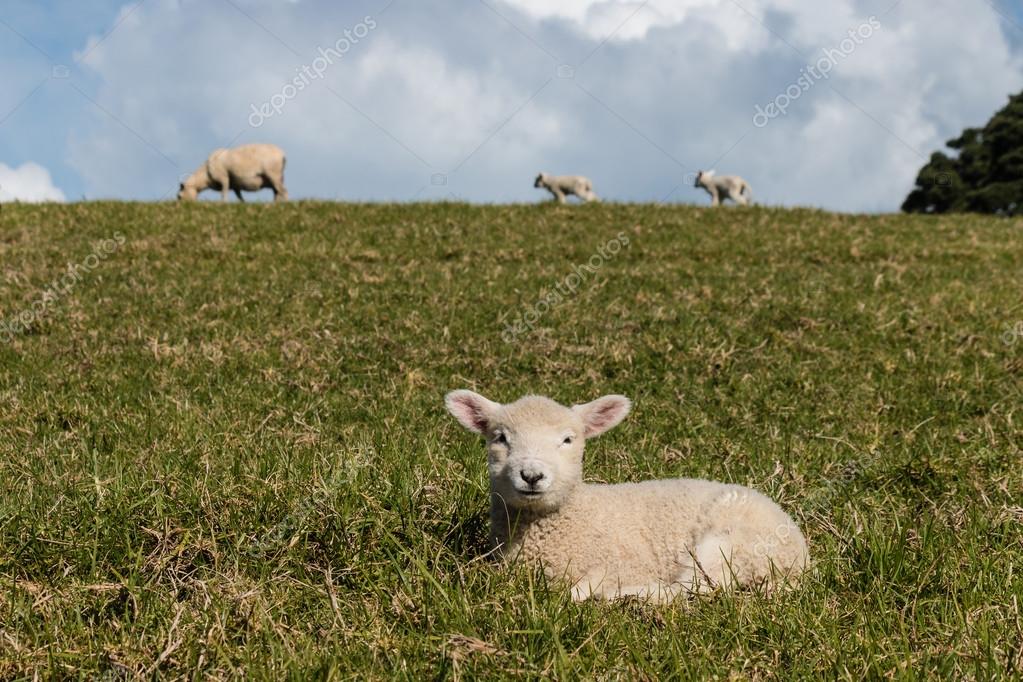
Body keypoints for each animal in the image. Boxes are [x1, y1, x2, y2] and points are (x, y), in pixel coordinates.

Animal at [445, 390, 808, 602]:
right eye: (500, 437)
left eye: (568, 439)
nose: (532, 475)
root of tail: (801, 560)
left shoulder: (621, 561)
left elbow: (579, 590)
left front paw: (589, 592)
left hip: (735, 546)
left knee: (696, 587)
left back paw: (629, 596)